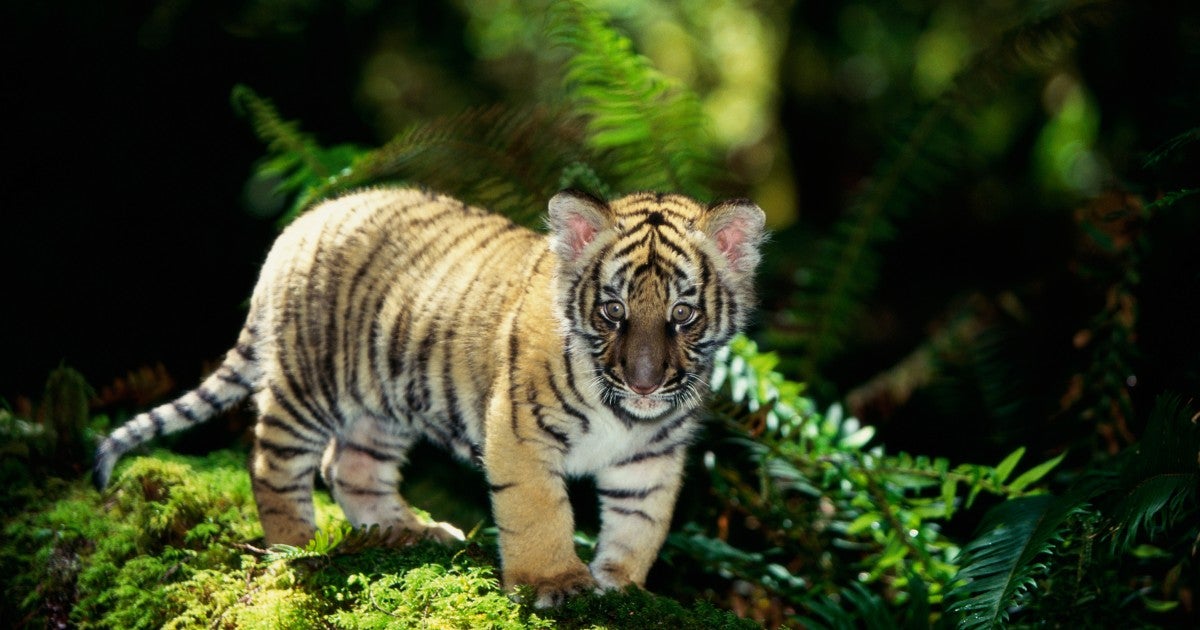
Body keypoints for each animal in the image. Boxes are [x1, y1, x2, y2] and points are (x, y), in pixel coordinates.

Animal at [93, 186, 765, 607]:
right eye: (613, 311)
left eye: (682, 316)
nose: (644, 382)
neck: (625, 413)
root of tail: (302, 223)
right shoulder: (520, 435)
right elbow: (540, 513)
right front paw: (554, 582)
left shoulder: (650, 458)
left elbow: (639, 526)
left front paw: (621, 584)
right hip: (310, 382)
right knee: (270, 460)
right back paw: (299, 546)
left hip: (382, 404)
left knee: (351, 467)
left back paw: (405, 532)